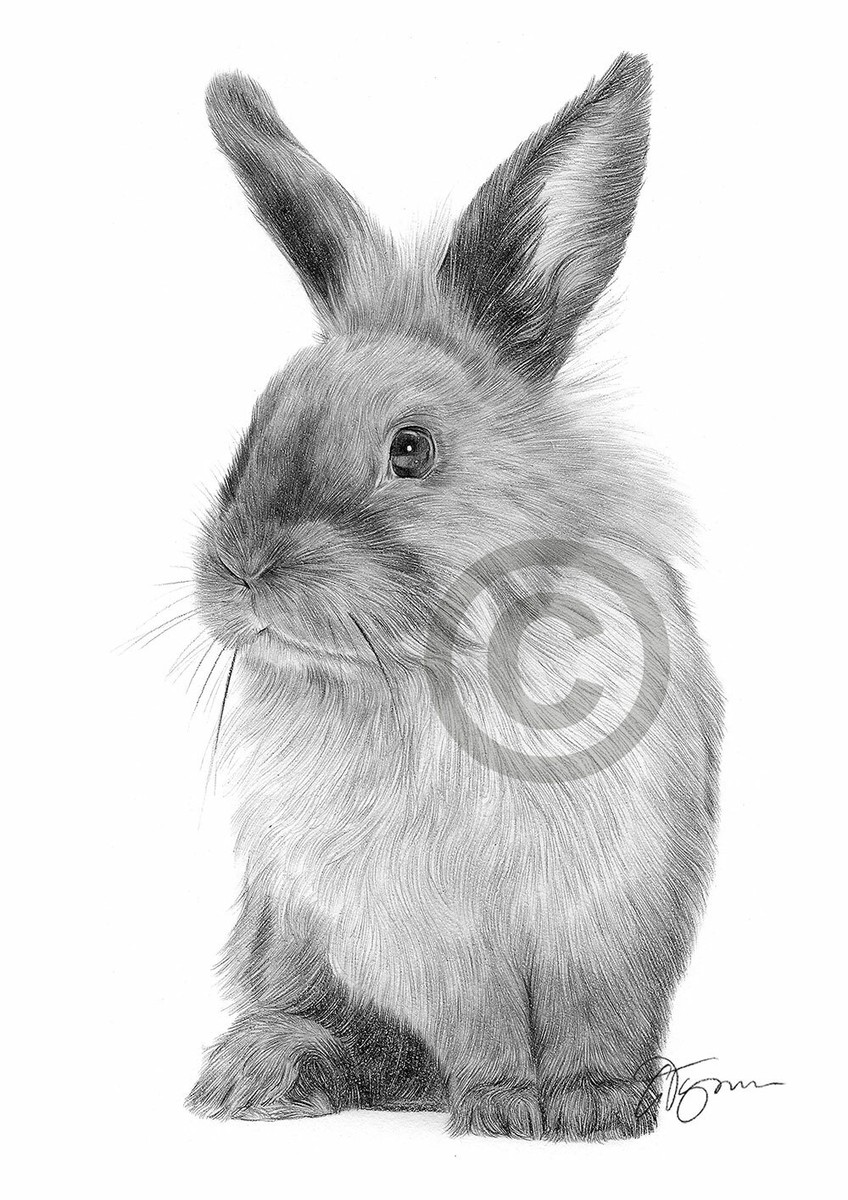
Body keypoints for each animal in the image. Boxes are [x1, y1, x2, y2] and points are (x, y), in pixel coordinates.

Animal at [185, 52, 723, 1141]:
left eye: (410, 449)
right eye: (253, 433)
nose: (246, 572)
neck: (448, 655)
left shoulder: (616, 913)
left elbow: (597, 1018)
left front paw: (597, 1110)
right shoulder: (421, 937)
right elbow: (483, 1027)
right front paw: (507, 1110)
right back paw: (257, 1076)